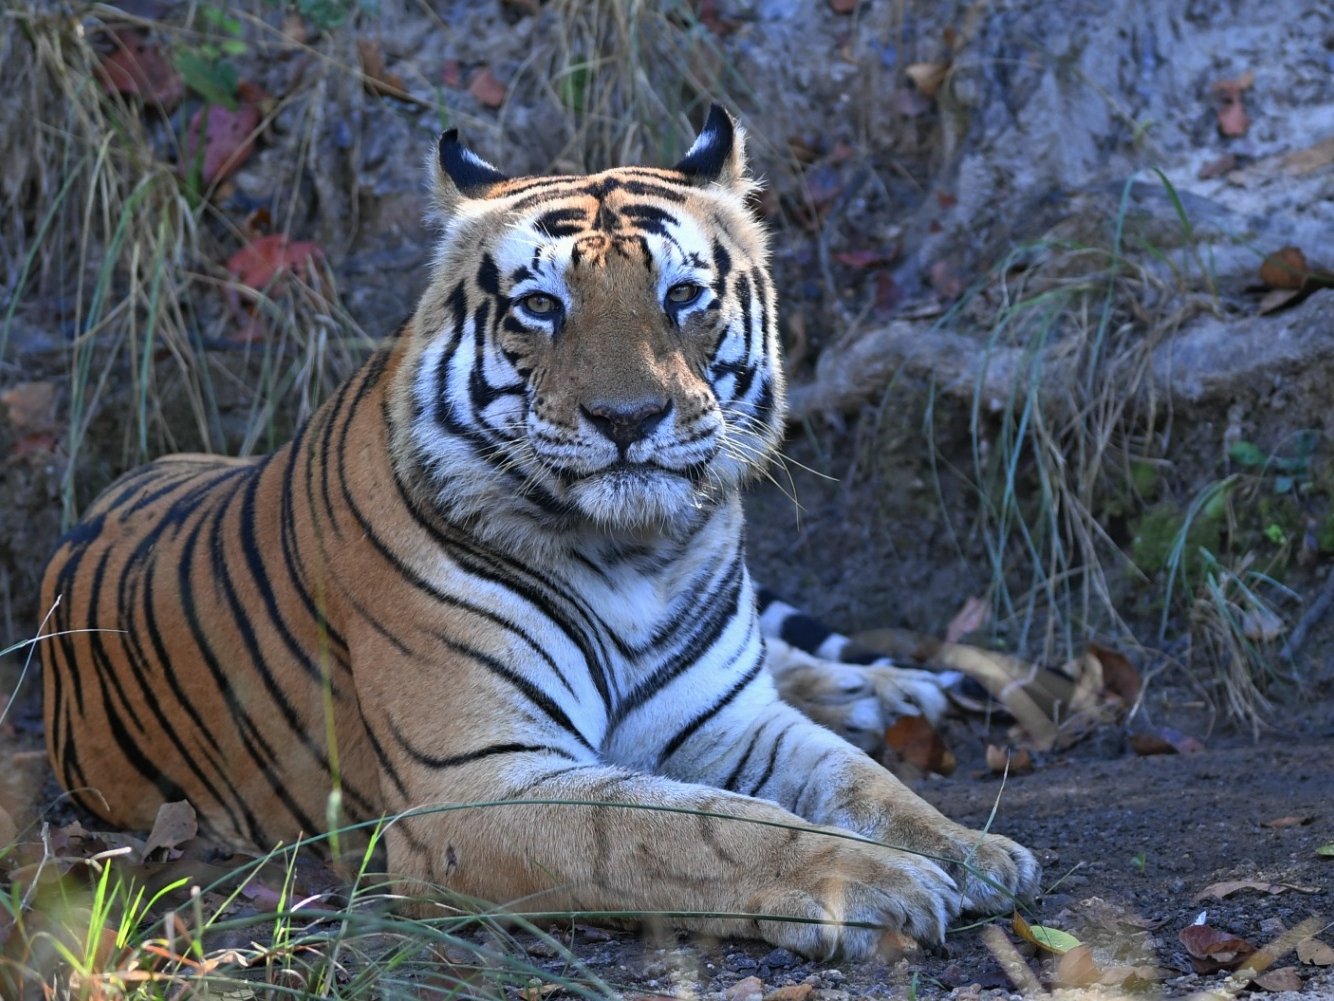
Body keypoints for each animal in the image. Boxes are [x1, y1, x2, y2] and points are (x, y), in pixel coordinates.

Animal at [40, 106, 1039, 960]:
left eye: (682, 294)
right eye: (541, 306)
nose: (629, 417)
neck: (639, 555)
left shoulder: (730, 716)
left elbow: (859, 779)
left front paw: (971, 847)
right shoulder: (473, 782)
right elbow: (690, 824)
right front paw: (883, 882)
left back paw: (891, 690)